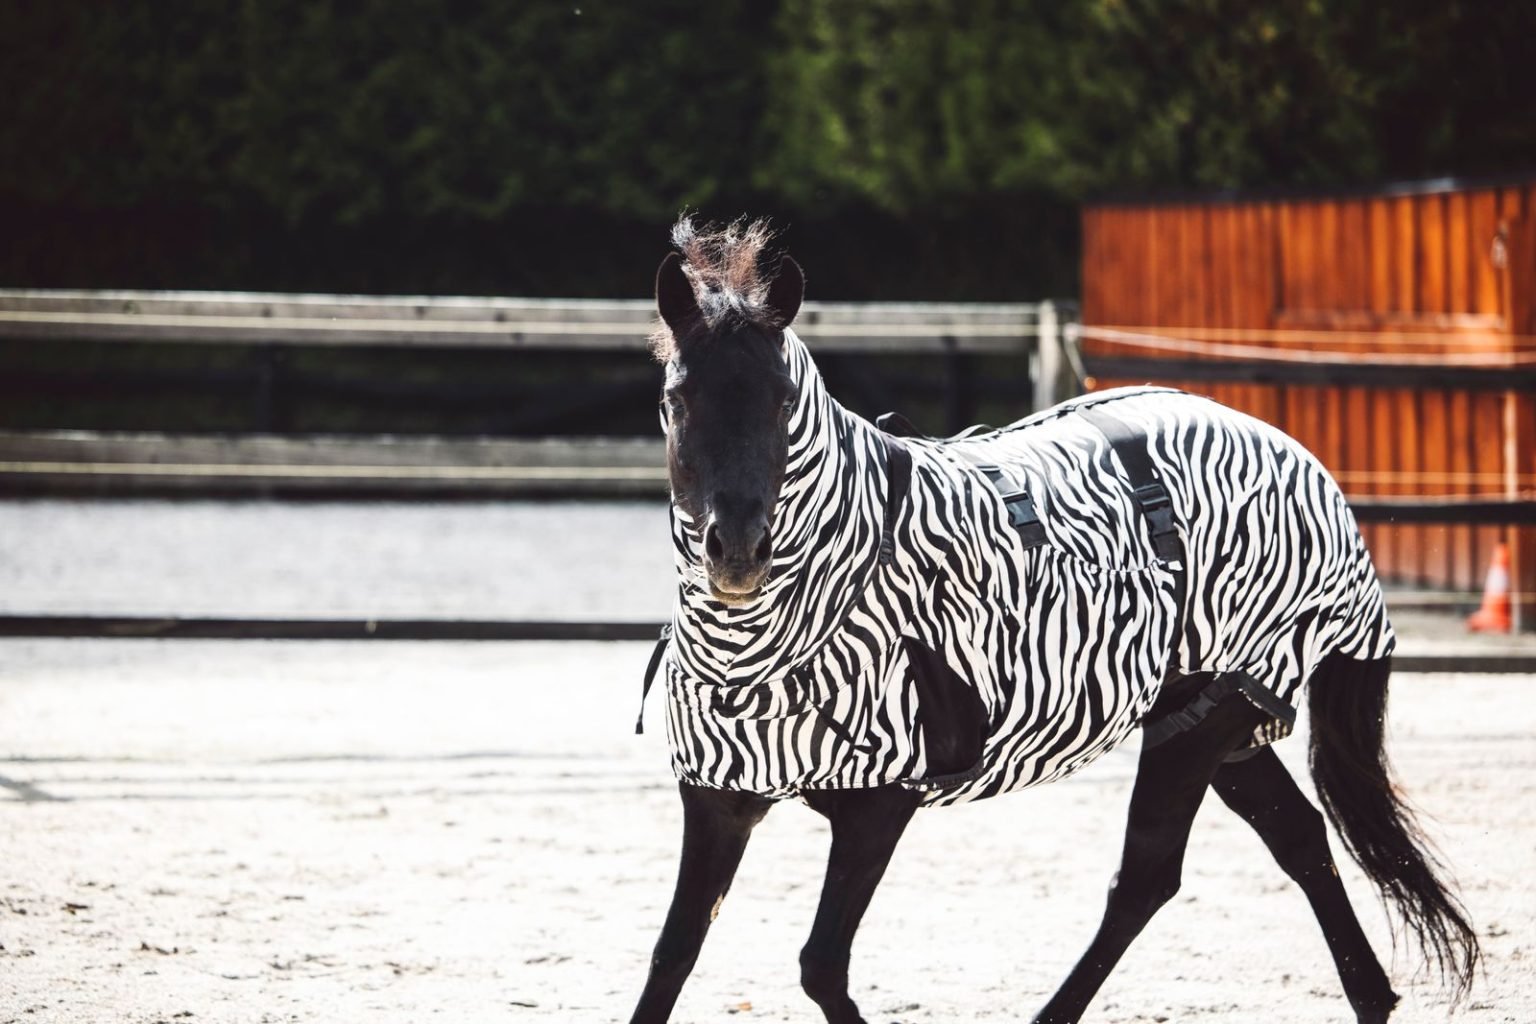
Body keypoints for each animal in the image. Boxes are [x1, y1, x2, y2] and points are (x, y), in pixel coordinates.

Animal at [627, 219, 1478, 1024]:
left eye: (783, 402)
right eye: (675, 401)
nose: (739, 551)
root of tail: (1299, 459)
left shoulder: (879, 805)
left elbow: (820, 968)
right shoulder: (720, 802)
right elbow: (673, 957)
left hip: (1204, 726)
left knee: (1146, 879)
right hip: (1211, 721)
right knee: (1297, 838)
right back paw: (1371, 996)